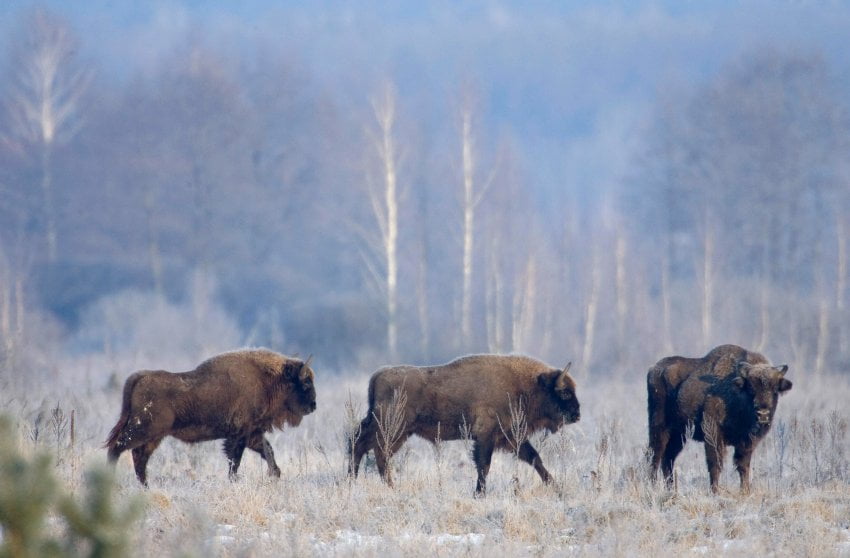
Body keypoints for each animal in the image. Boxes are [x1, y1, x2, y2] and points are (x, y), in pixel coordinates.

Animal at [105, 349, 316, 485]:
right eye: (305, 383)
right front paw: (235, 480)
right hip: (143, 430)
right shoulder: (241, 434)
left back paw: (145, 486)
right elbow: (235, 460)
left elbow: (268, 451)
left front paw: (275, 474)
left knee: (138, 457)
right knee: (118, 449)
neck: (268, 379)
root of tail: (139, 377)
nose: (313, 406)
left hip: (154, 436)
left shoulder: (252, 434)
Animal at [349, 354, 580, 495]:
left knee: (358, 444)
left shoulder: (512, 438)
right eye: (564, 392)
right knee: (379, 453)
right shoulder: (486, 437)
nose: (577, 414)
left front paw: (557, 488)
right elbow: (484, 466)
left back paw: (351, 480)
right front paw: (479, 494)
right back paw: (390, 487)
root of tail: (378, 376)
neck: (526, 386)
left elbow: (535, 459)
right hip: (395, 430)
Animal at [647, 344, 792, 493]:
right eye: (751, 389)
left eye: (775, 391)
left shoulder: (747, 442)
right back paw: (653, 486)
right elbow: (716, 463)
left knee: (667, 458)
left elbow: (743, 465)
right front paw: (715, 491)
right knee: (654, 456)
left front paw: (745, 490)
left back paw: (671, 489)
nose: (763, 414)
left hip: (679, 434)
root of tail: (654, 369)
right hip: (659, 427)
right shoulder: (713, 433)